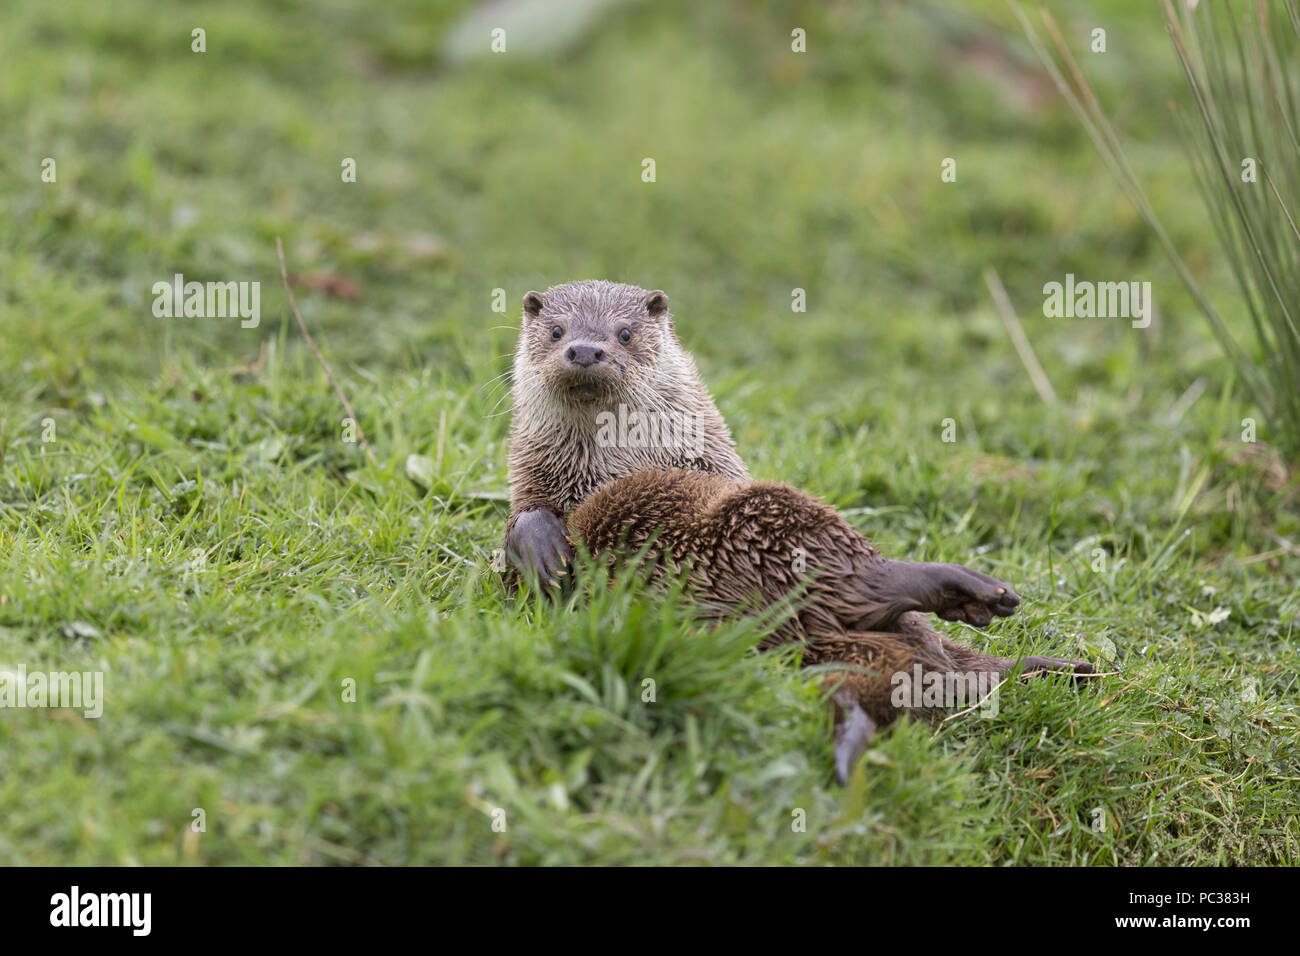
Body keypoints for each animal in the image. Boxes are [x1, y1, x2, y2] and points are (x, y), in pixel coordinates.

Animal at [505, 281, 1096, 783]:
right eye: (556, 330)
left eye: (624, 332)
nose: (585, 350)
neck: (608, 466)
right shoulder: (532, 476)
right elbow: (522, 524)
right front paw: (542, 550)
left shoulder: (717, 468)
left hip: (765, 511)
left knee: (872, 580)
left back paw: (981, 603)